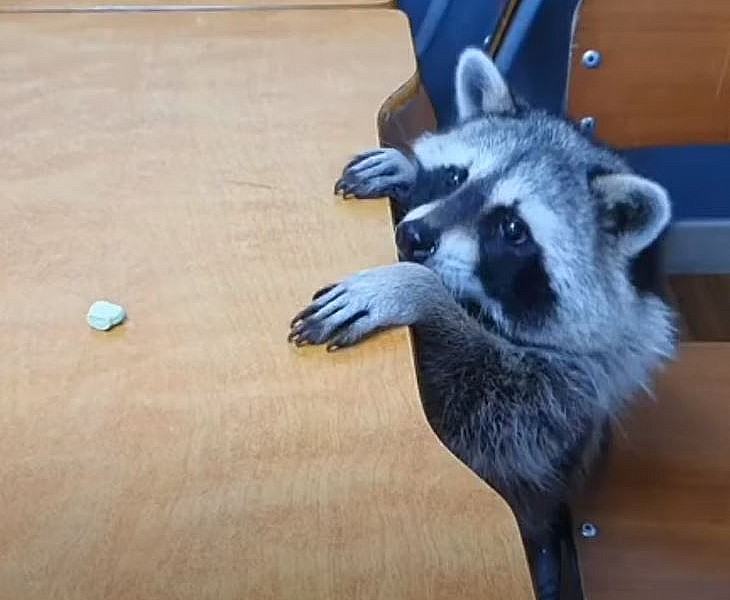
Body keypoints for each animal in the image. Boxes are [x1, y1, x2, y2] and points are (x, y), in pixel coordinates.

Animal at [289, 48, 676, 598]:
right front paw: (406, 170)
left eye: (511, 228)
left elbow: (483, 405)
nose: (411, 236)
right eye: (455, 177)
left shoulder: (569, 391)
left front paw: (414, 289)